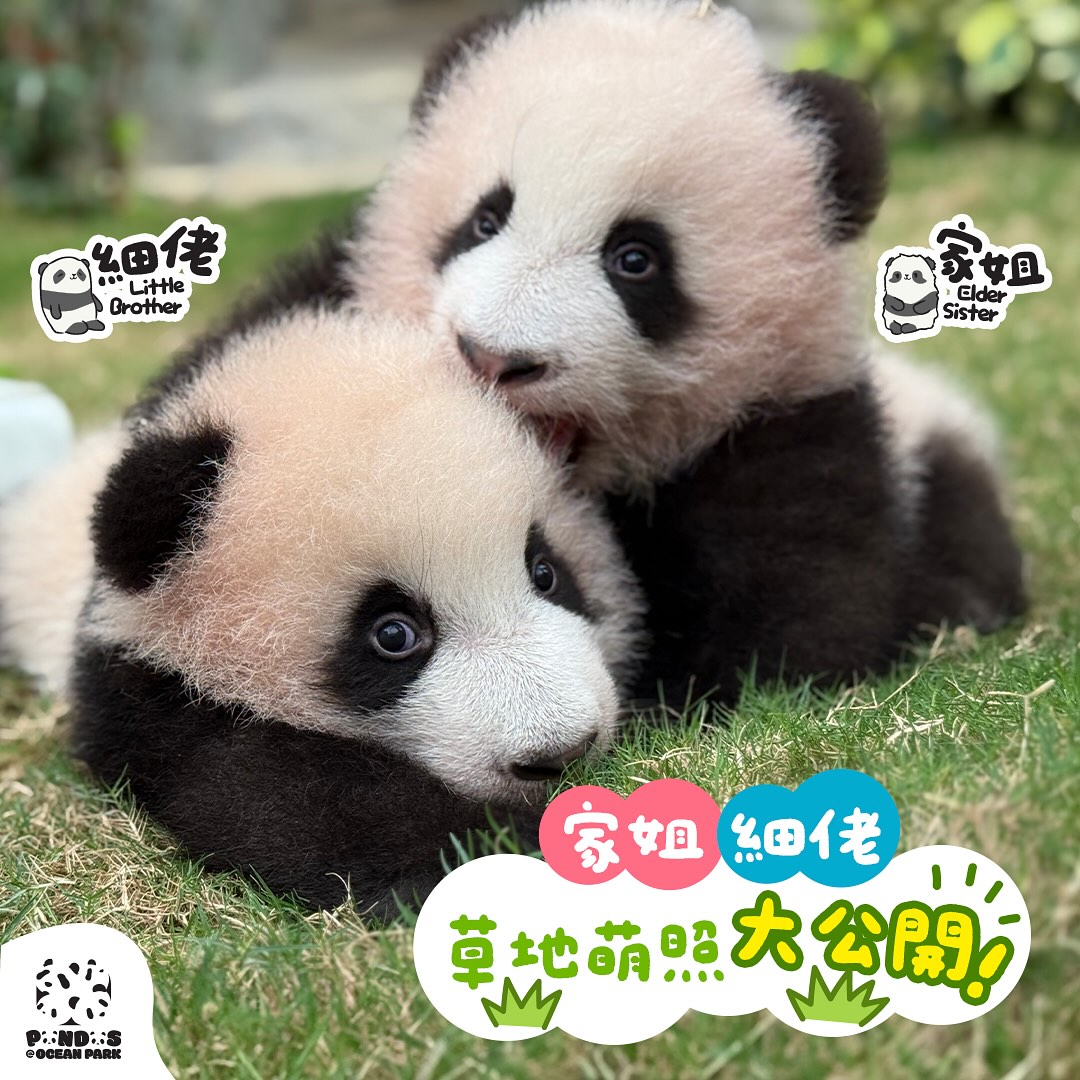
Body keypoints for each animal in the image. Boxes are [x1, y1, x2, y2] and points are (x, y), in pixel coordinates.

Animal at [0, 311, 644, 914]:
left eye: (545, 572)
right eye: (393, 634)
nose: (560, 752)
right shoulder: (147, 696)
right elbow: (281, 799)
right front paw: (501, 844)